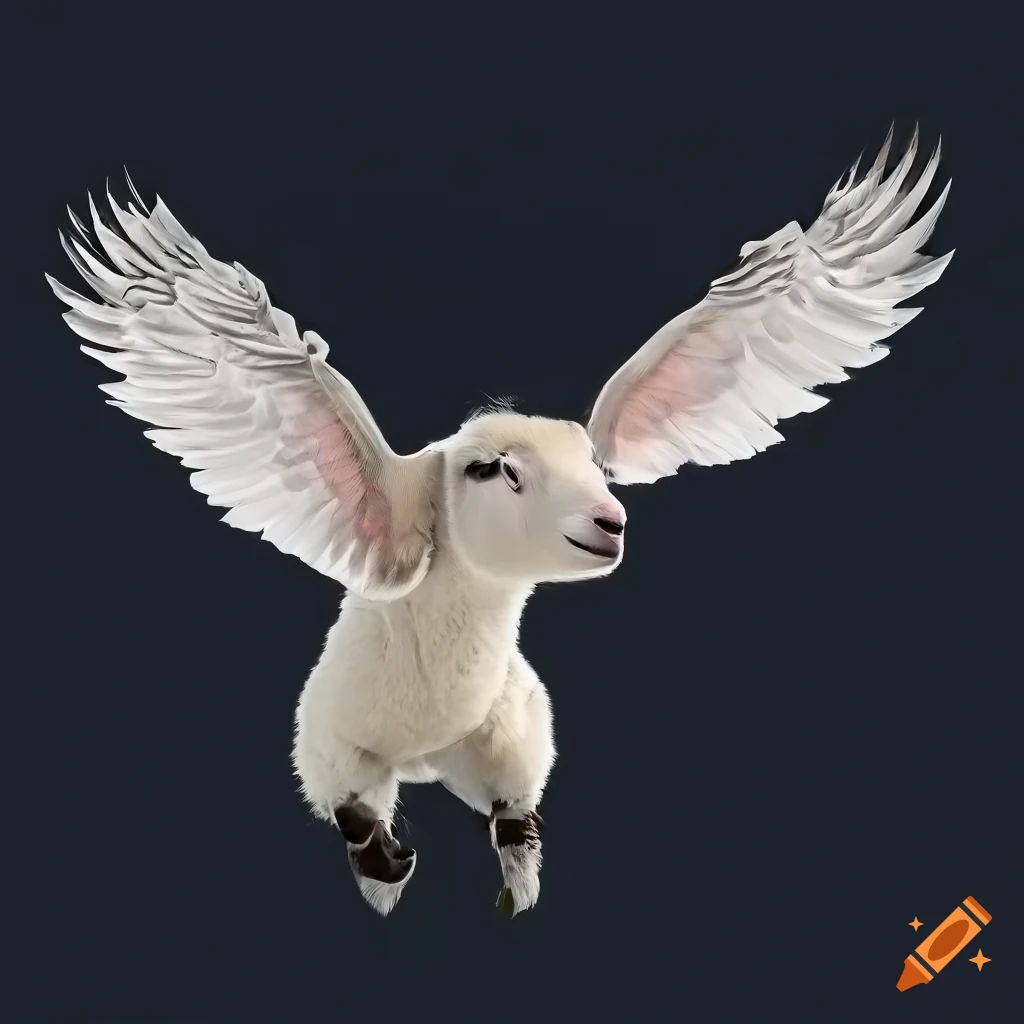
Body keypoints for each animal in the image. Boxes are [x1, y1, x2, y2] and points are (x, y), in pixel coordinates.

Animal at [47, 125, 951, 916]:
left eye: (598, 466)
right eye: (495, 471)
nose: (611, 521)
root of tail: (425, 757)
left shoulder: (515, 736)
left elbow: (513, 816)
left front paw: (509, 874)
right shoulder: (334, 745)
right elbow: (357, 822)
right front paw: (390, 860)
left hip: (508, 725)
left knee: (507, 815)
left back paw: (510, 876)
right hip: (338, 734)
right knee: (362, 822)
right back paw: (391, 862)